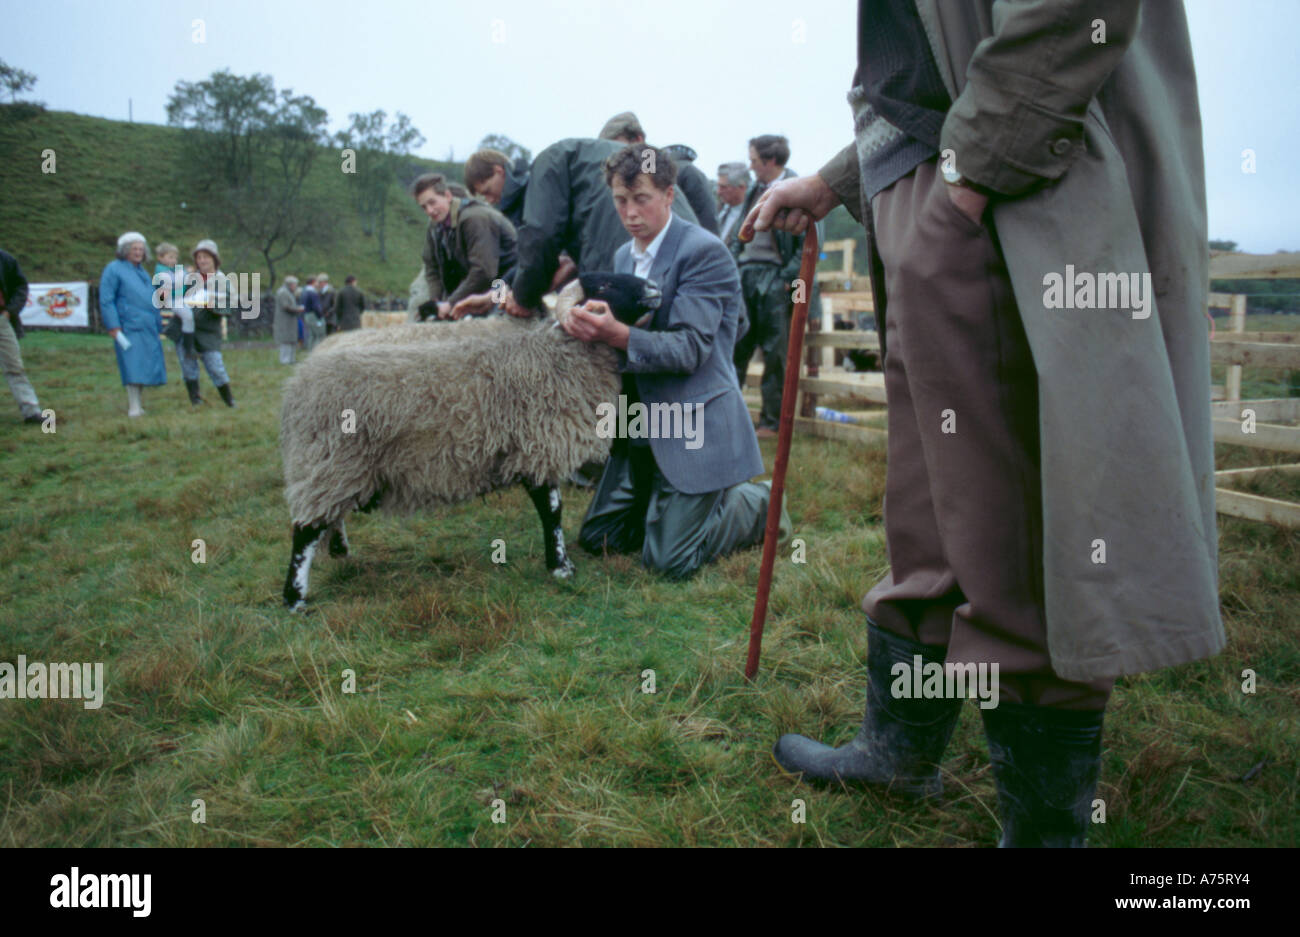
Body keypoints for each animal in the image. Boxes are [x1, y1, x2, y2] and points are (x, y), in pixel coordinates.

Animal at [280, 272, 662, 610]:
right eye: (606, 285)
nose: (655, 288)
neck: (556, 358)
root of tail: (298, 385)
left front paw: (561, 564)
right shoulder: (537, 448)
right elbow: (552, 512)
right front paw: (560, 567)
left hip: (334, 469)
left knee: (328, 515)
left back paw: (337, 553)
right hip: (330, 462)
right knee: (305, 531)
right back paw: (295, 598)